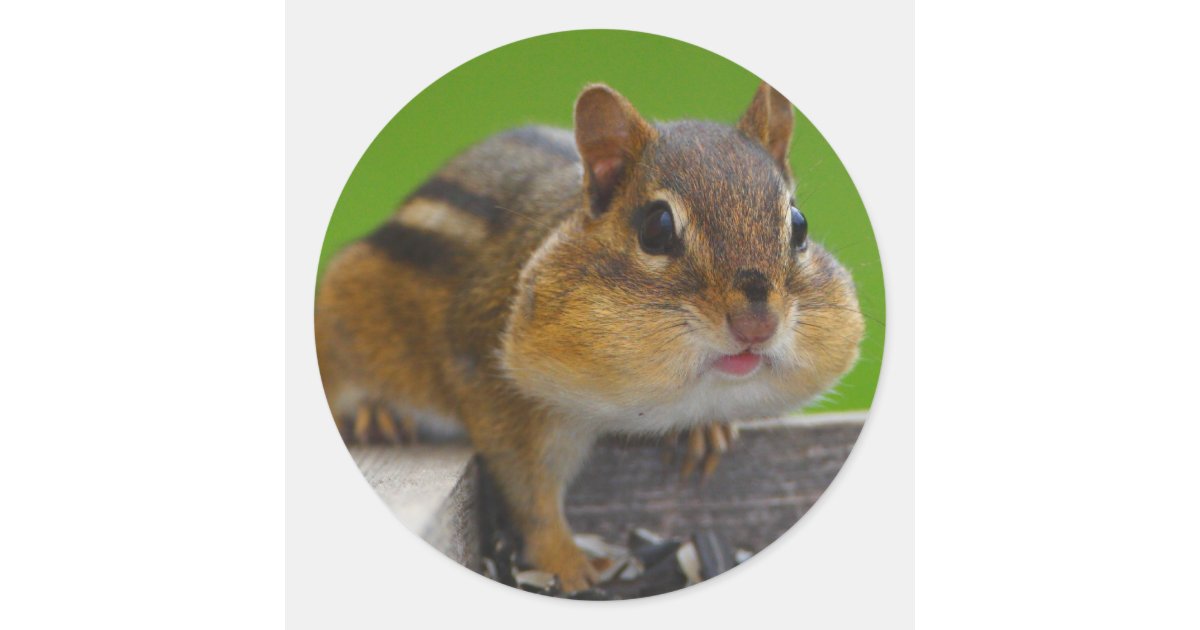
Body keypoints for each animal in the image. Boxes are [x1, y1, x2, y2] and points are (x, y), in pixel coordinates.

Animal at [315, 82, 865, 591]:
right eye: (657, 228)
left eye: (799, 225)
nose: (756, 324)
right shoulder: (493, 387)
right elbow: (531, 493)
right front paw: (567, 565)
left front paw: (705, 431)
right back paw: (377, 415)